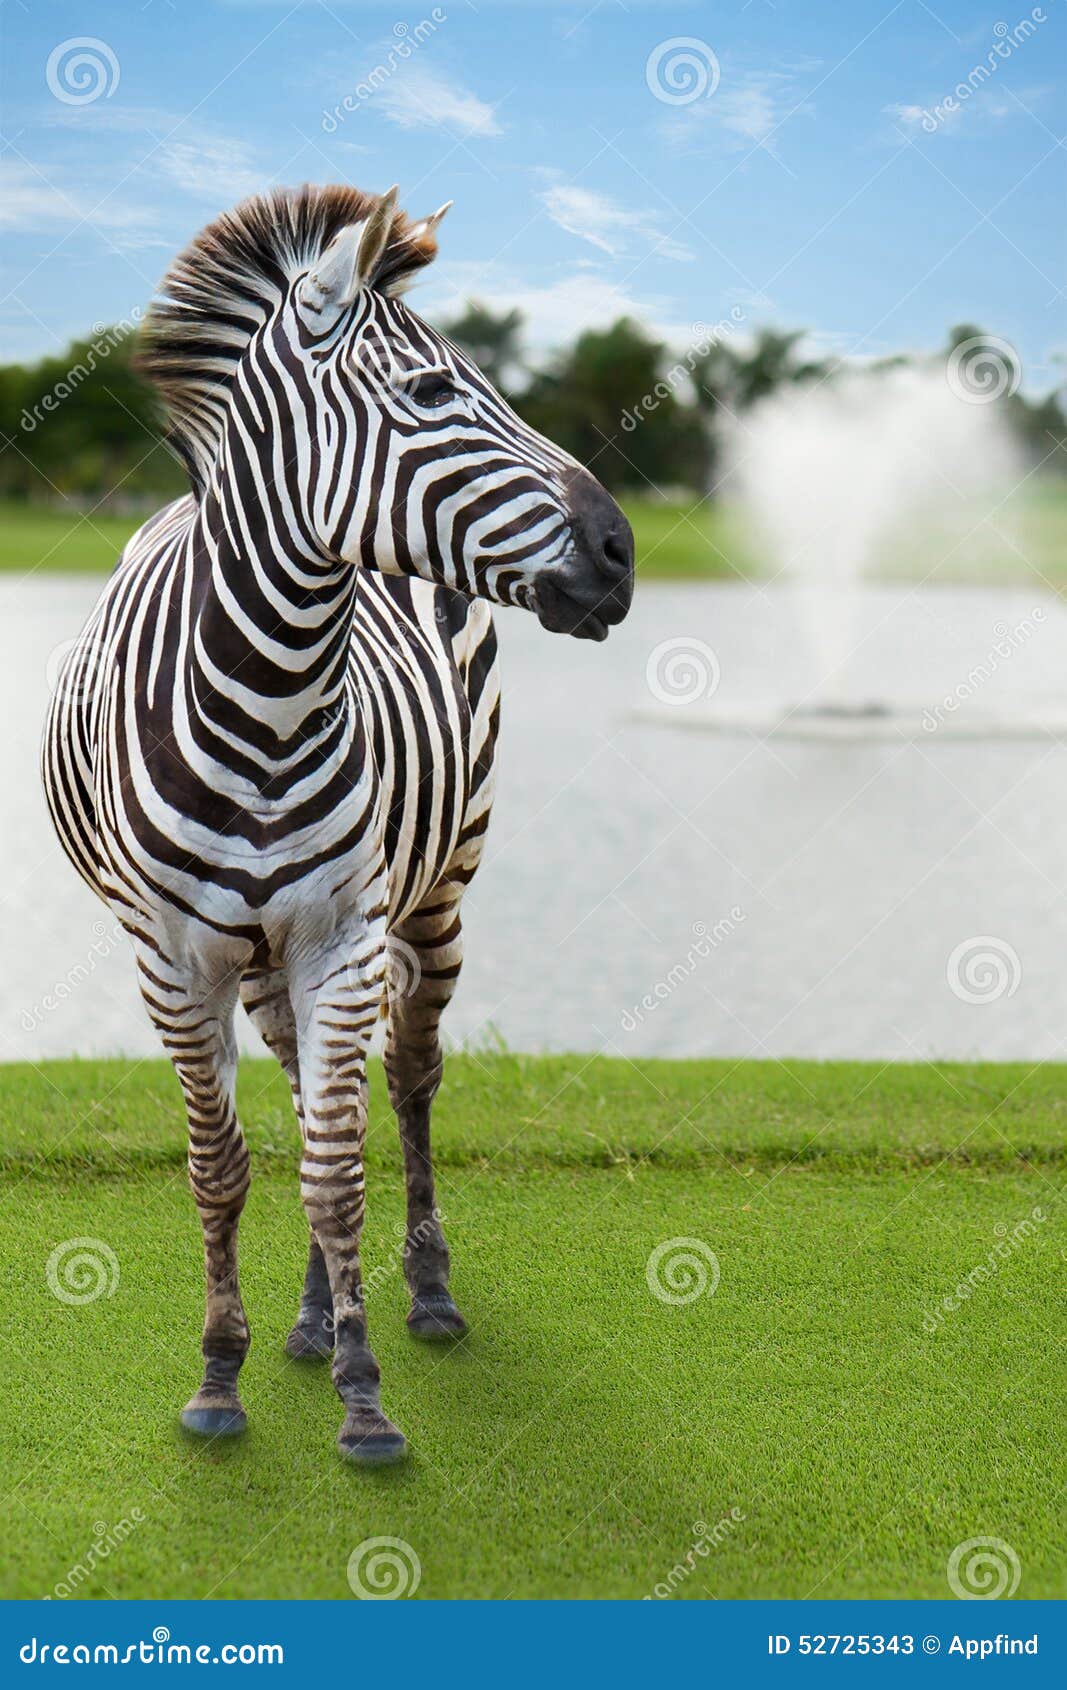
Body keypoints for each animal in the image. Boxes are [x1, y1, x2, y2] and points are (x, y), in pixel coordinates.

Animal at [42, 183, 633, 1464]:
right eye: (432, 395)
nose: (621, 554)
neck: (266, 697)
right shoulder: (174, 959)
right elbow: (224, 1166)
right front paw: (221, 1375)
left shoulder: (344, 934)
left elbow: (336, 1167)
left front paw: (365, 1394)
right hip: (265, 959)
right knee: (314, 1085)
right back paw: (312, 1317)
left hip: (439, 890)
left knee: (400, 1077)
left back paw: (421, 1292)